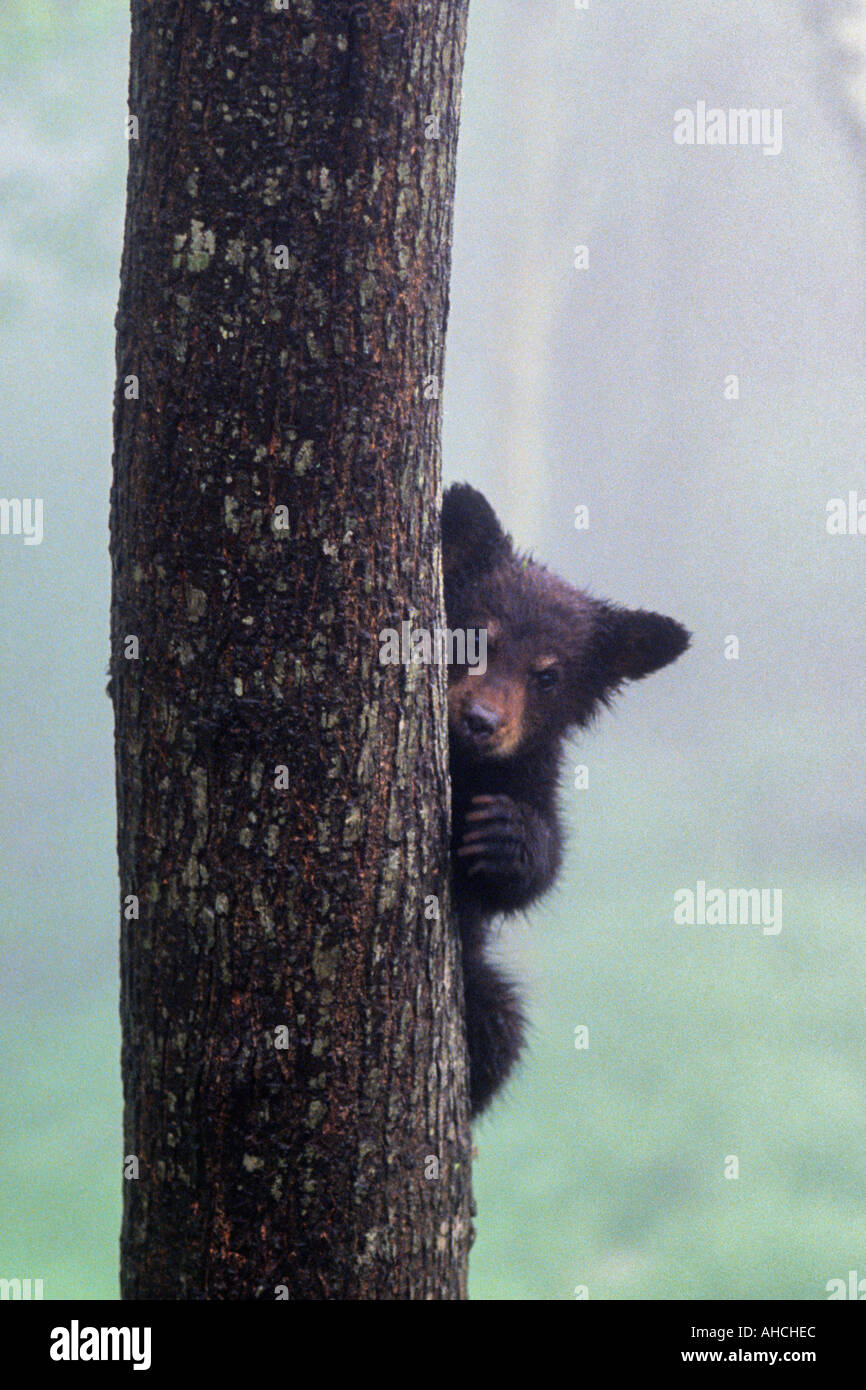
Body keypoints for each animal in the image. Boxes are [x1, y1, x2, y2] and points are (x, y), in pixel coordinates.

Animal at [441, 483, 690, 1117]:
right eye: (476, 637)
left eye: (547, 676)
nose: (481, 721)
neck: (467, 764)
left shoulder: (530, 770)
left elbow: (536, 862)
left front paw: (502, 835)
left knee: (500, 1028)